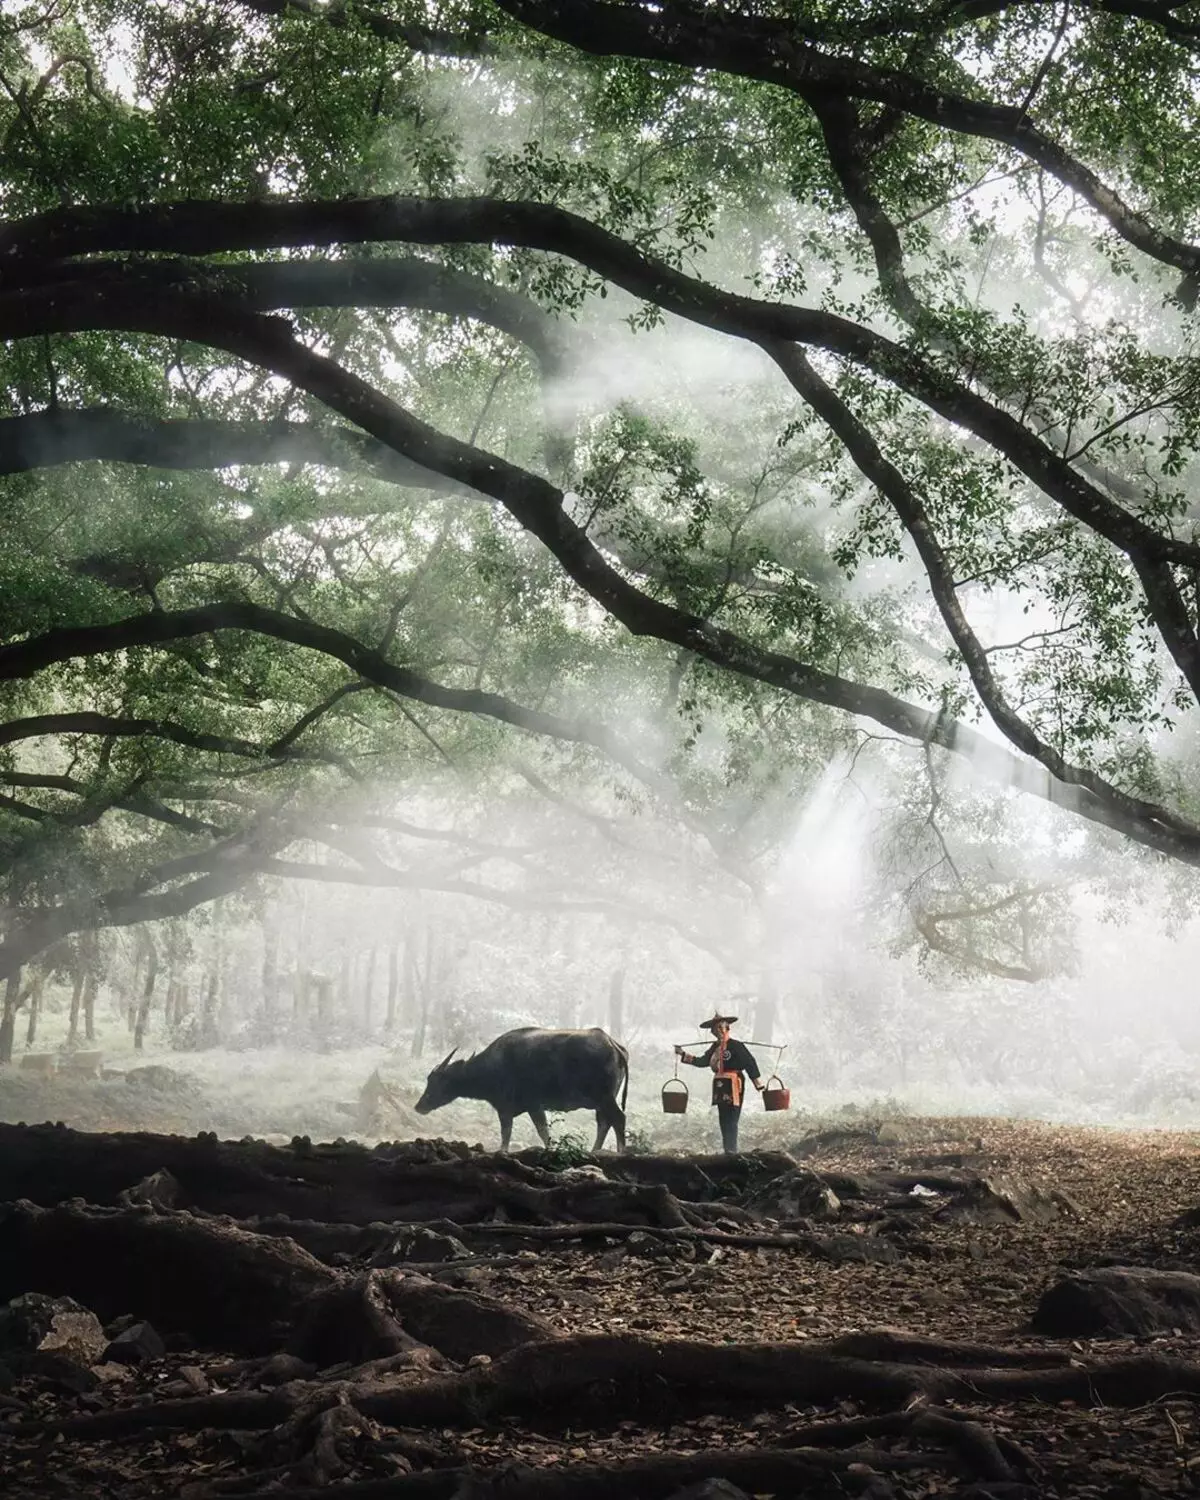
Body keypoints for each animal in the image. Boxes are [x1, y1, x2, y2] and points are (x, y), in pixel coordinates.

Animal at [417, 1026, 633, 1152]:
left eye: (437, 1081)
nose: (419, 1106)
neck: (493, 1065)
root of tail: (613, 1045)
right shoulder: (532, 1107)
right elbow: (543, 1131)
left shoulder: (515, 1106)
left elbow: (513, 1131)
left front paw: (503, 1151)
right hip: (603, 1100)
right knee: (604, 1122)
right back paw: (595, 1150)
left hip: (604, 1097)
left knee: (618, 1119)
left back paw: (620, 1151)